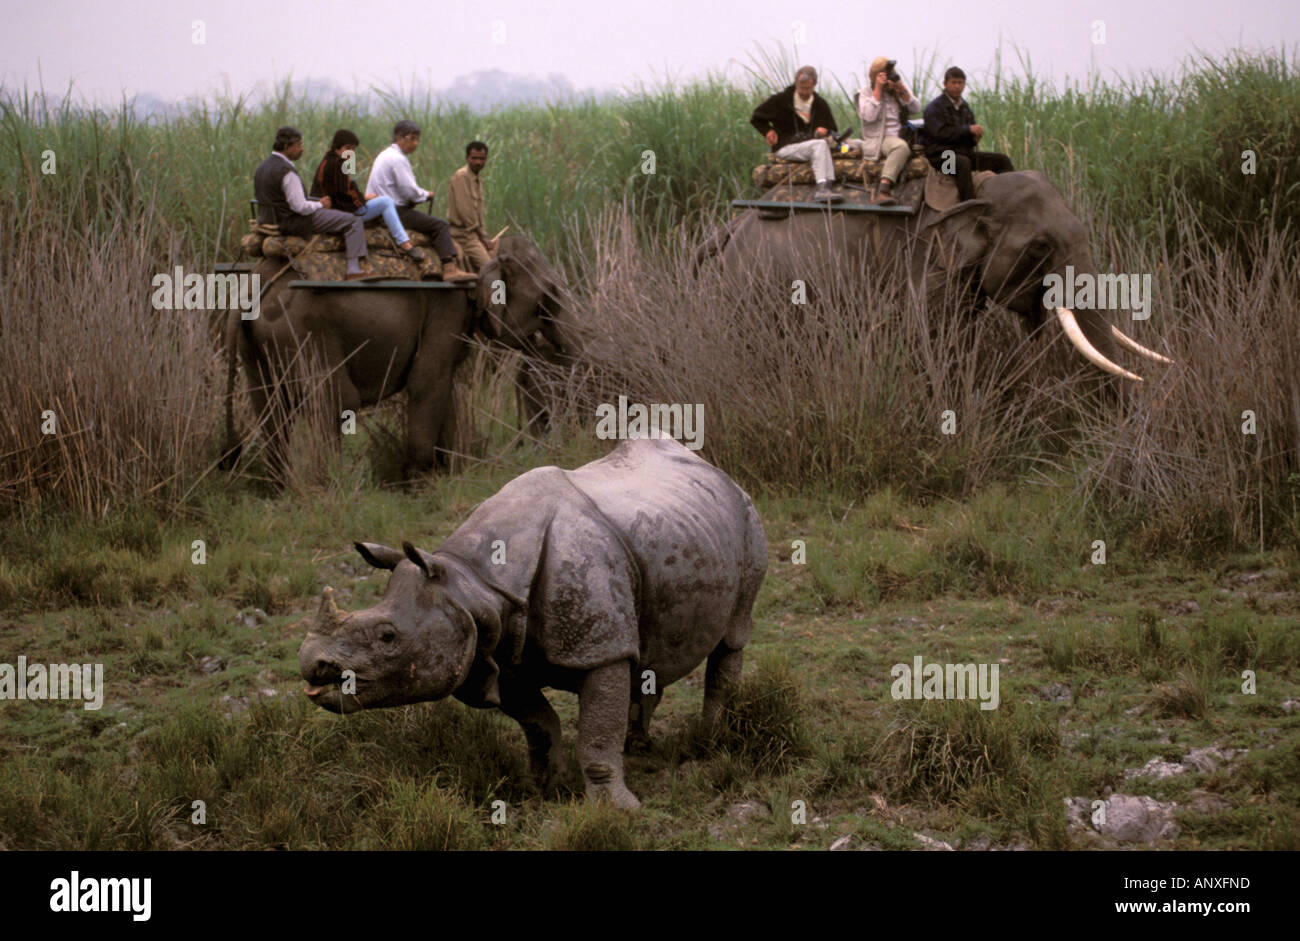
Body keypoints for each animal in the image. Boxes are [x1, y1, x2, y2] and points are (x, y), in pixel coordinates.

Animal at [298, 436, 768, 808]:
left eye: (388, 636)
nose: (311, 666)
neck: (472, 585)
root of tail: (713, 468)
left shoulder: (599, 650)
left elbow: (595, 734)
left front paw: (616, 809)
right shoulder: (493, 653)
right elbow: (539, 725)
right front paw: (540, 789)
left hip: (747, 515)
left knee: (731, 638)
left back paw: (709, 740)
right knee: (645, 650)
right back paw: (637, 746)